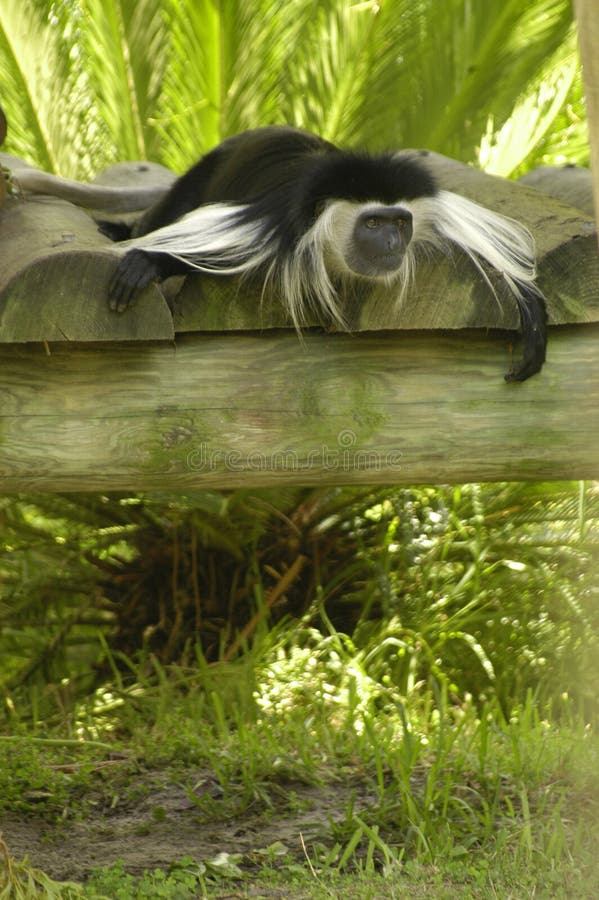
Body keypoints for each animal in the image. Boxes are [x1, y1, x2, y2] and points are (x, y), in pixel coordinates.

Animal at [11, 126, 547, 381]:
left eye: (399, 222)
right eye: (373, 224)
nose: (395, 243)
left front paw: (535, 326)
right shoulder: (274, 228)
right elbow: (195, 246)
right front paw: (146, 263)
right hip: (208, 169)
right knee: (173, 209)